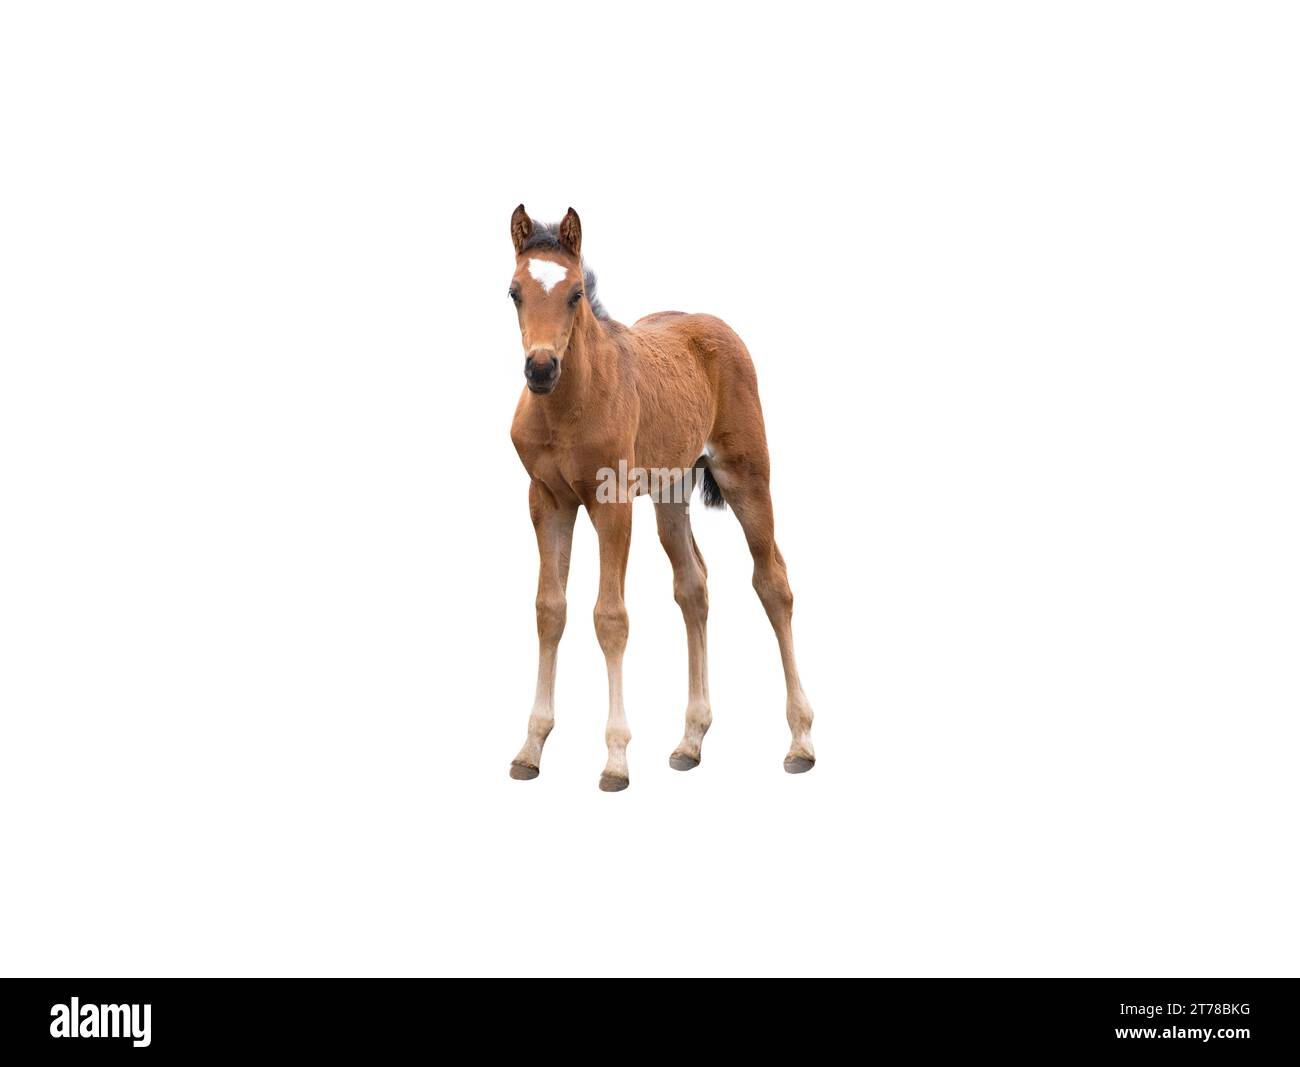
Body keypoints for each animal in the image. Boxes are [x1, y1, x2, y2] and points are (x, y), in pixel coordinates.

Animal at [506, 205, 816, 791]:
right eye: (514, 291)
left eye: (575, 294)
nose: (540, 369)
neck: (569, 405)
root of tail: (714, 325)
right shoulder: (547, 501)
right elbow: (548, 610)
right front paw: (530, 749)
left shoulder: (612, 502)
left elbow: (610, 617)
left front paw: (616, 760)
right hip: (671, 490)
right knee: (693, 586)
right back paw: (690, 741)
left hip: (747, 475)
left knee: (773, 583)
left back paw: (801, 741)